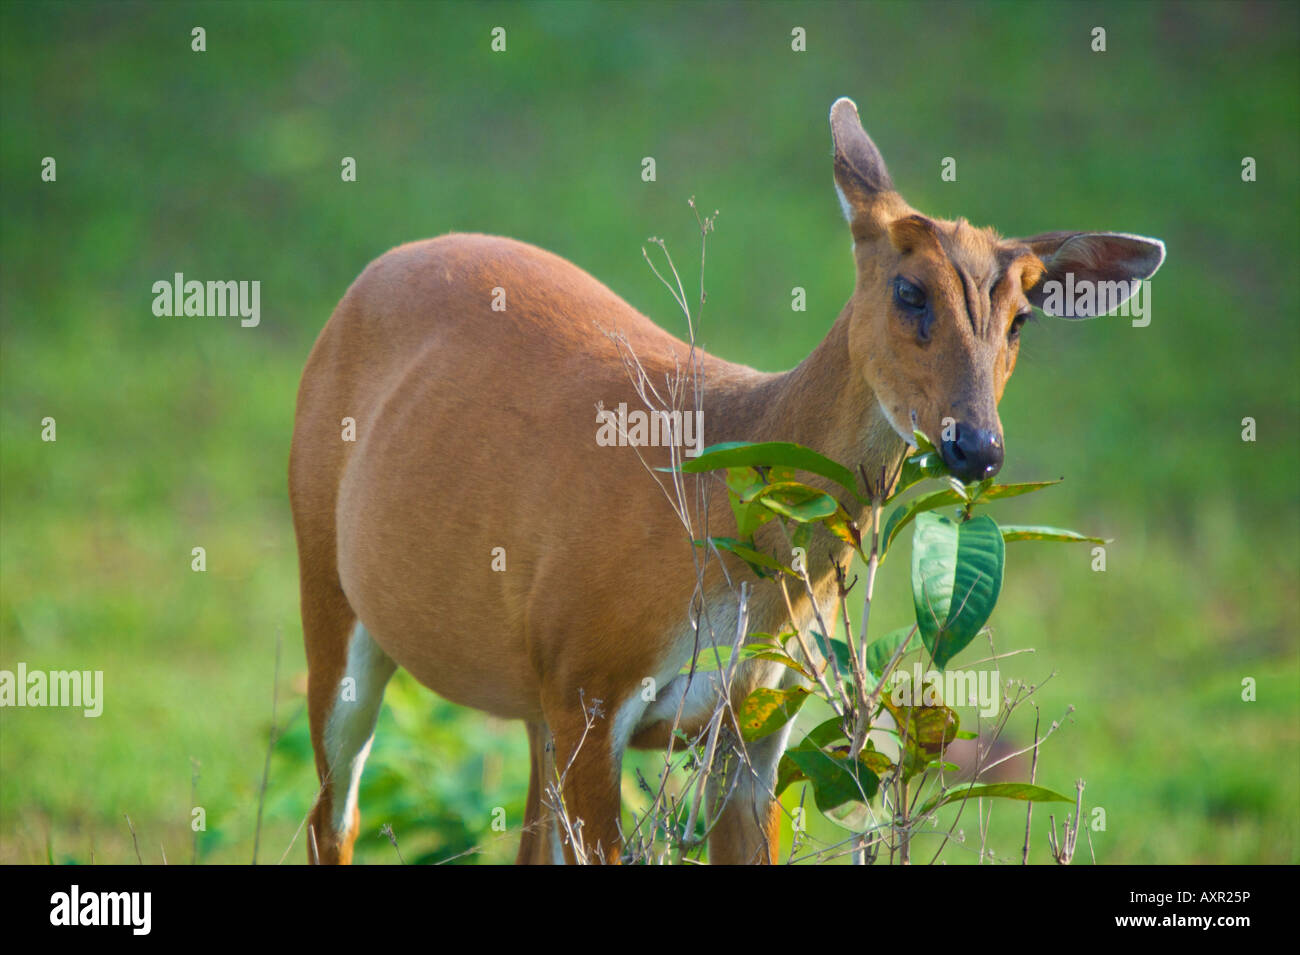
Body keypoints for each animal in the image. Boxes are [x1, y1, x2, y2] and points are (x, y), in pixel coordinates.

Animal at [288, 96, 1164, 865]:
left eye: (1022, 318)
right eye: (909, 291)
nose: (977, 447)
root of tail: (372, 273)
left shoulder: (760, 715)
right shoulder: (590, 684)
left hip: (534, 688)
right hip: (329, 580)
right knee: (332, 814)